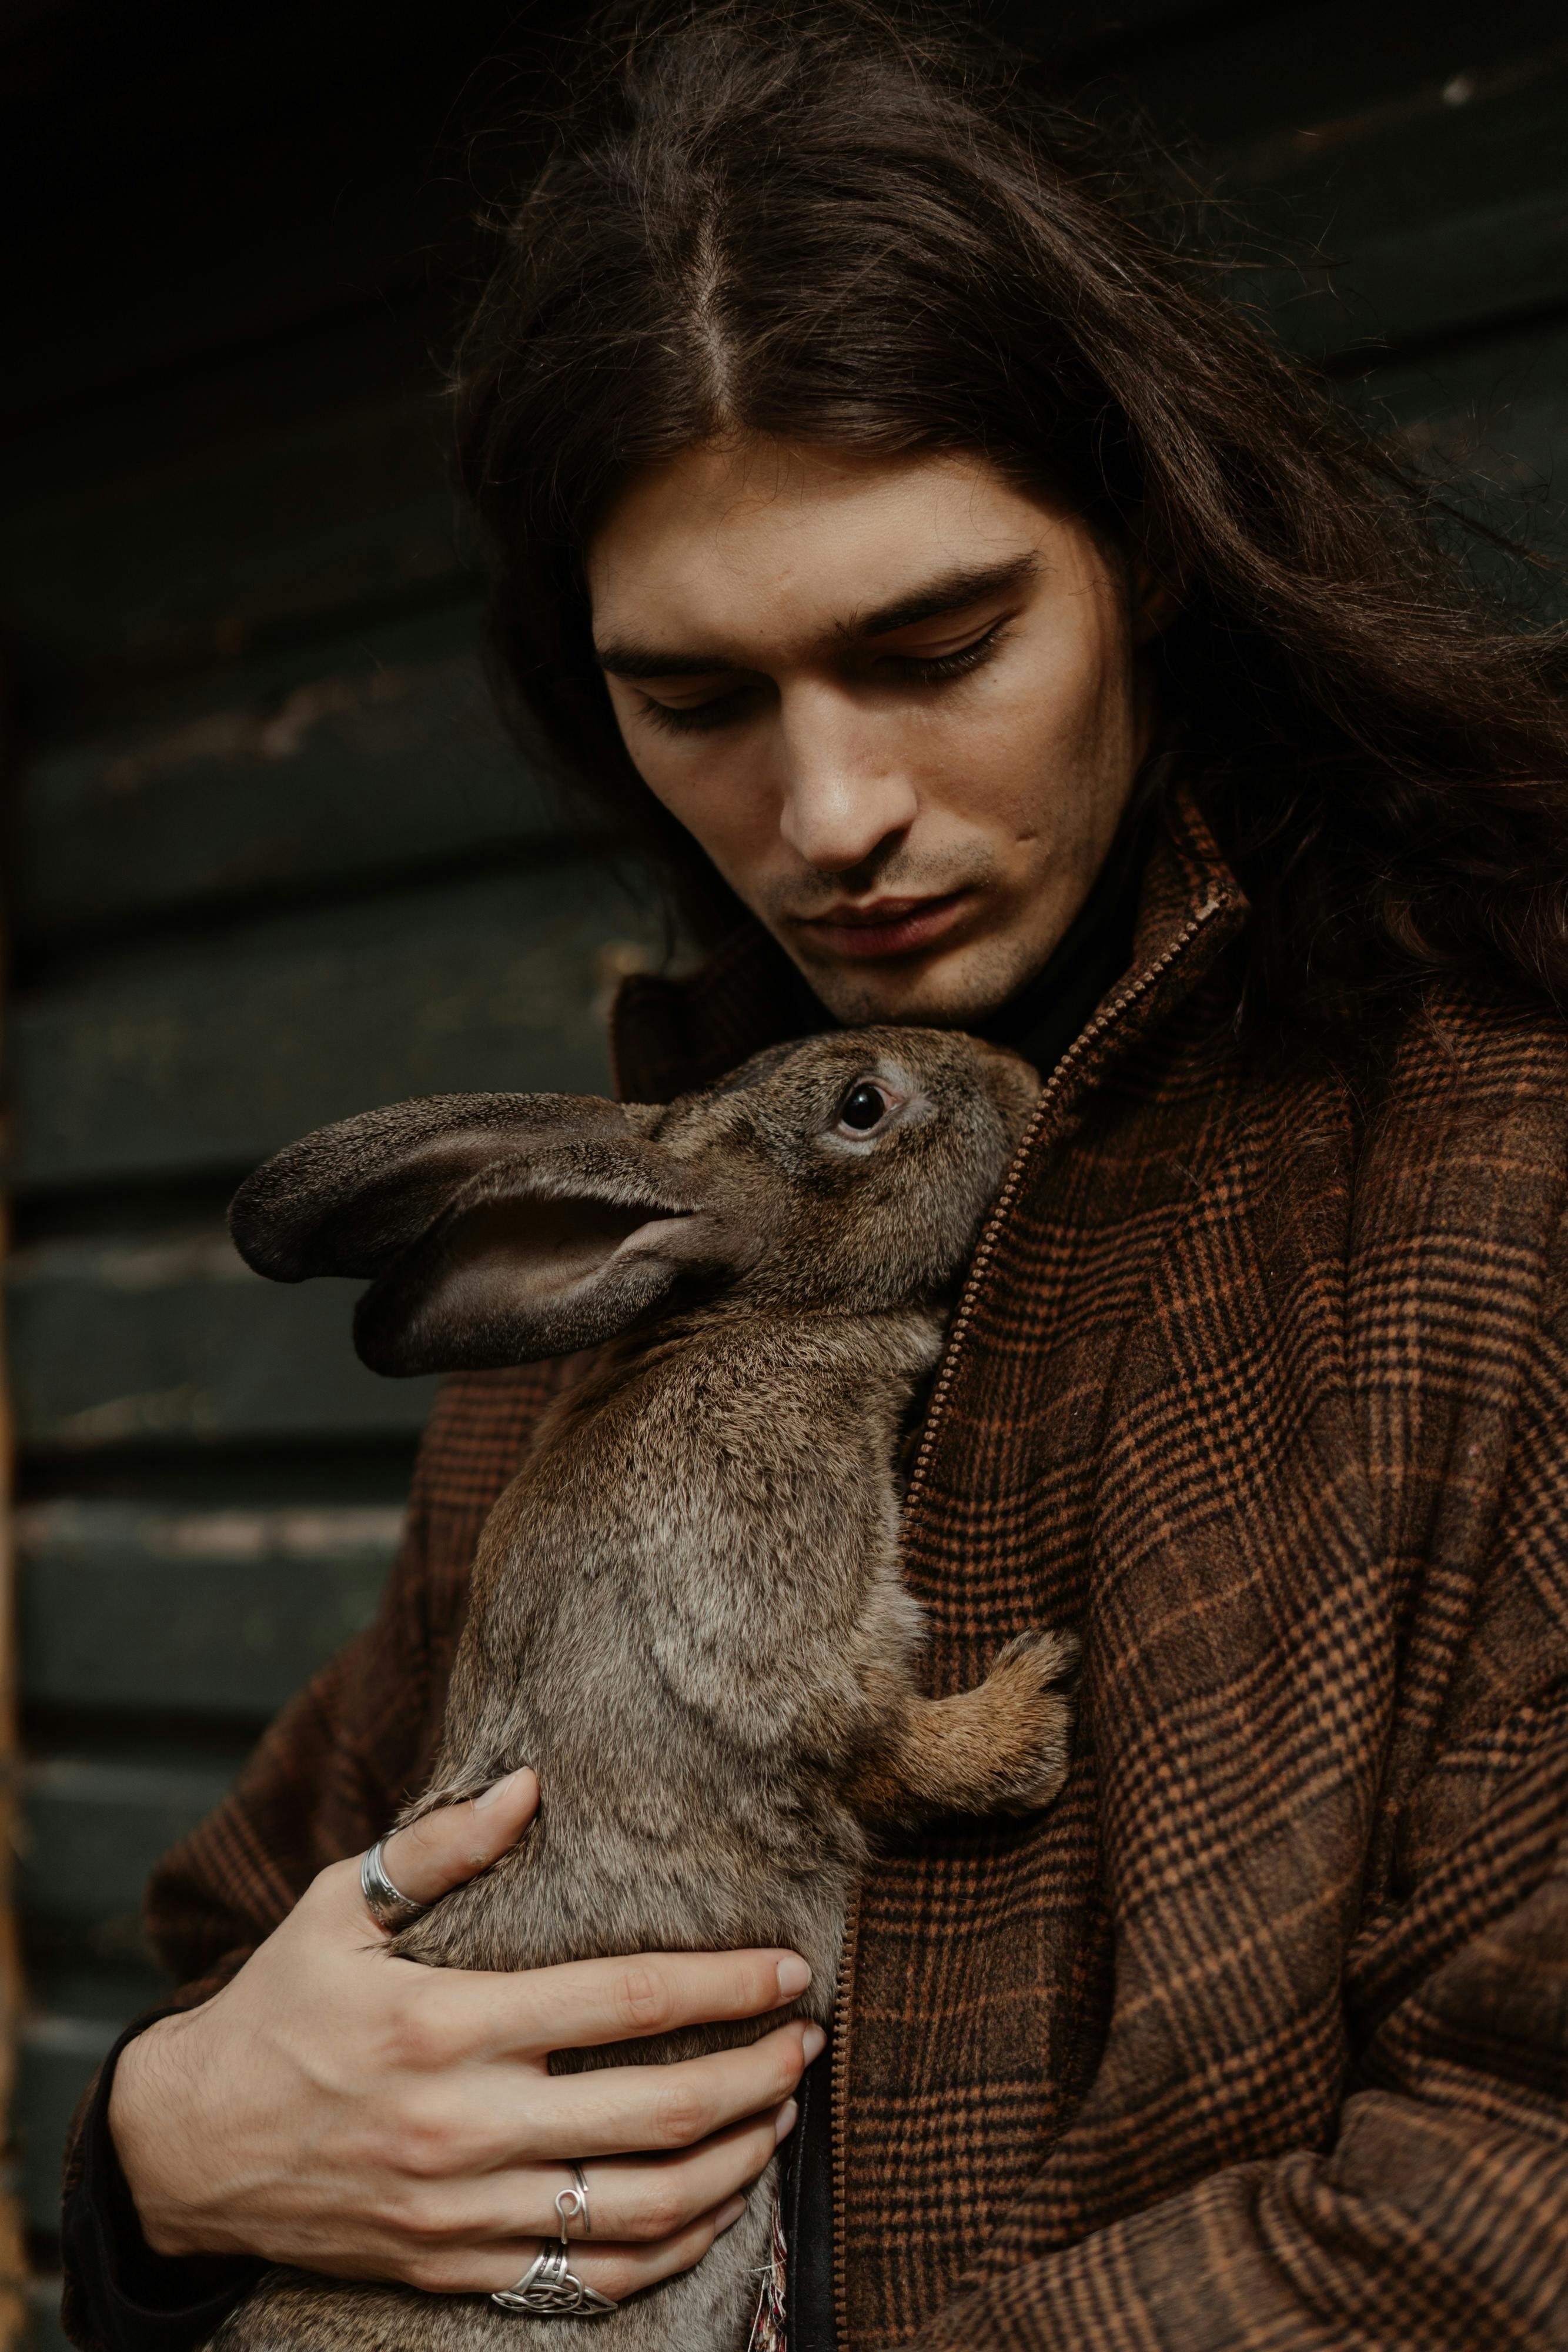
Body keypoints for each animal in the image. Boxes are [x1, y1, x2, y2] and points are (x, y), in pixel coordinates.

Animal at [212, 1025, 1080, 2352]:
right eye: (861, 1103)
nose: (1014, 1073)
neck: (764, 1314)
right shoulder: (759, 1579)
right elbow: (860, 1727)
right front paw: (1029, 1715)